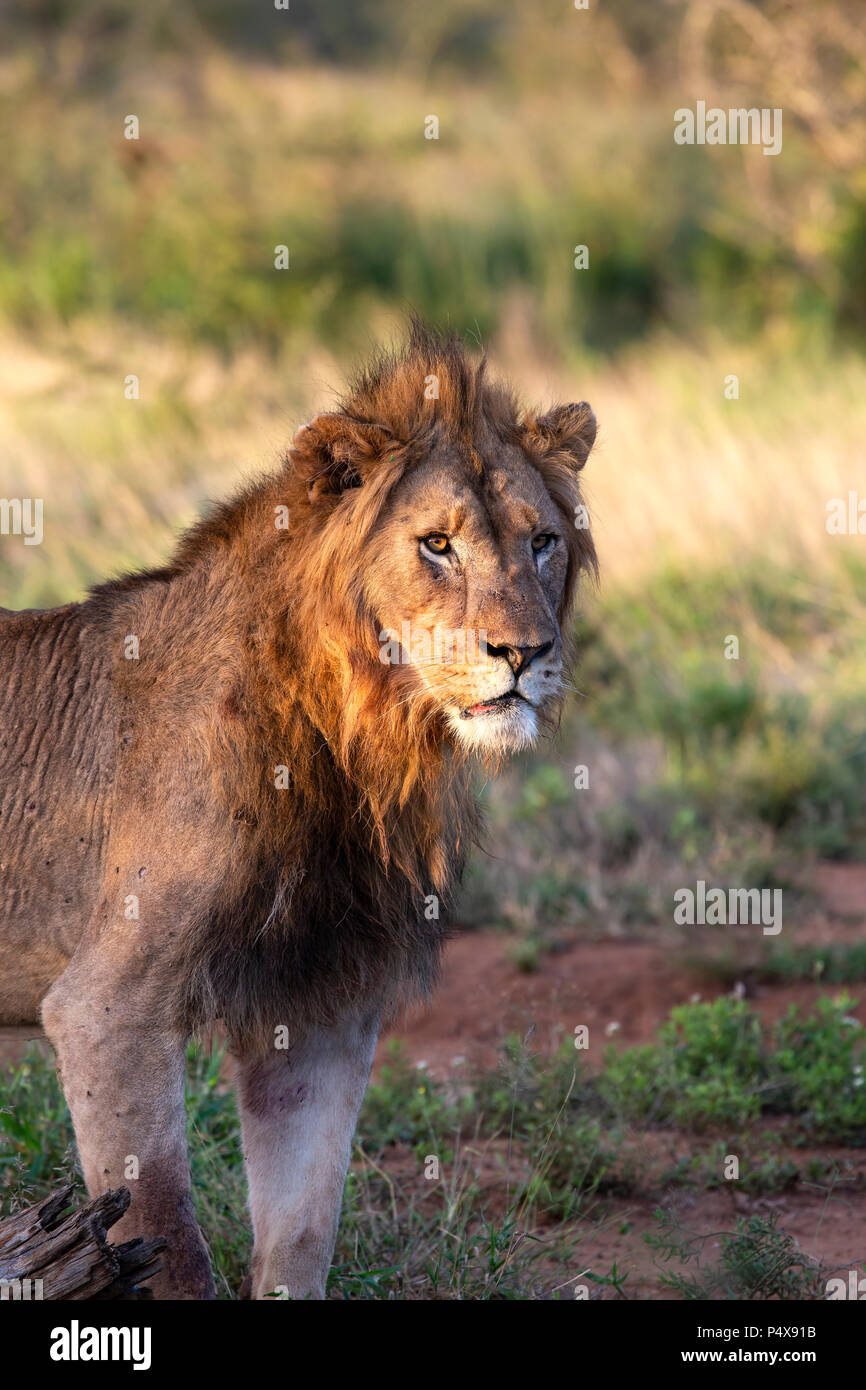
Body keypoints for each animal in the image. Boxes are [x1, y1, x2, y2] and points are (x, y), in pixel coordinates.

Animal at [0, 320, 597, 1299]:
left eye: (543, 540)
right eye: (437, 544)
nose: (527, 652)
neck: (356, 738)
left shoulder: (321, 1008)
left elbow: (302, 1231)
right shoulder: (107, 1008)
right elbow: (170, 1240)